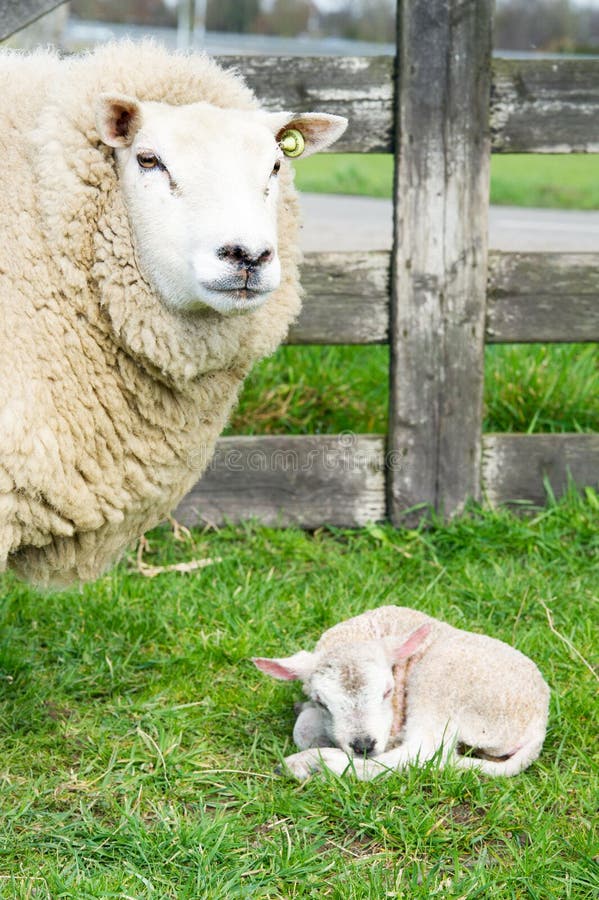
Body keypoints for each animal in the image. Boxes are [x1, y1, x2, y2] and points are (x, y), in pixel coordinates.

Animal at [253, 605, 550, 780]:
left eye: (388, 691)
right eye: (321, 702)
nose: (363, 745)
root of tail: (538, 725)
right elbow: (303, 729)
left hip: (441, 685)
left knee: (423, 754)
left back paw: (316, 763)